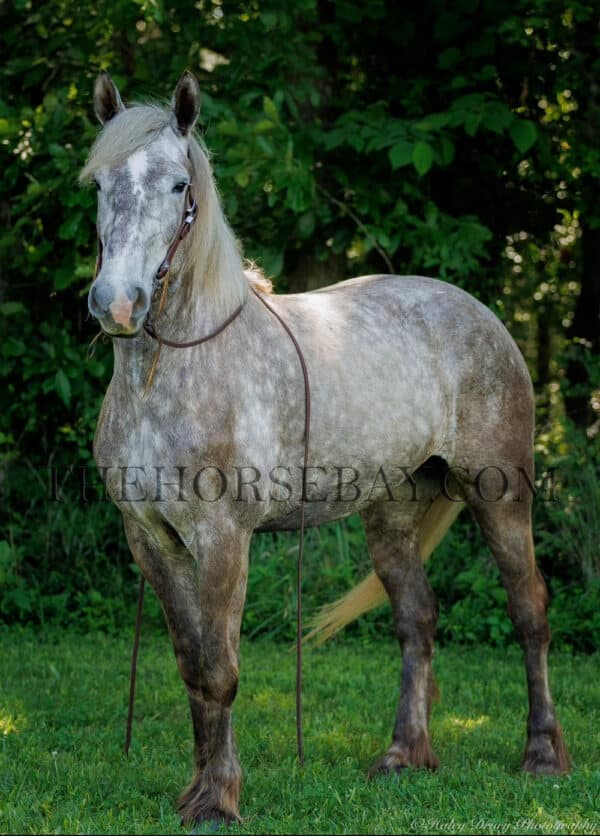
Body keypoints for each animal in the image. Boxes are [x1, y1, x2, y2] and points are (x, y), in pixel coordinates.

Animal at [82, 70, 569, 826]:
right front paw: (195, 791)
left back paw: (542, 755)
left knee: (530, 612)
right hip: (392, 511)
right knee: (416, 619)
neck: (178, 371)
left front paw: (218, 800)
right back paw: (403, 757)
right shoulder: (152, 539)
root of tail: (480, 314)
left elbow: (220, 671)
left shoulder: (223, 537)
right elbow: (192, 666)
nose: (117, 305)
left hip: (502, 497)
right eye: (101, 183)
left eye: (177, 185)